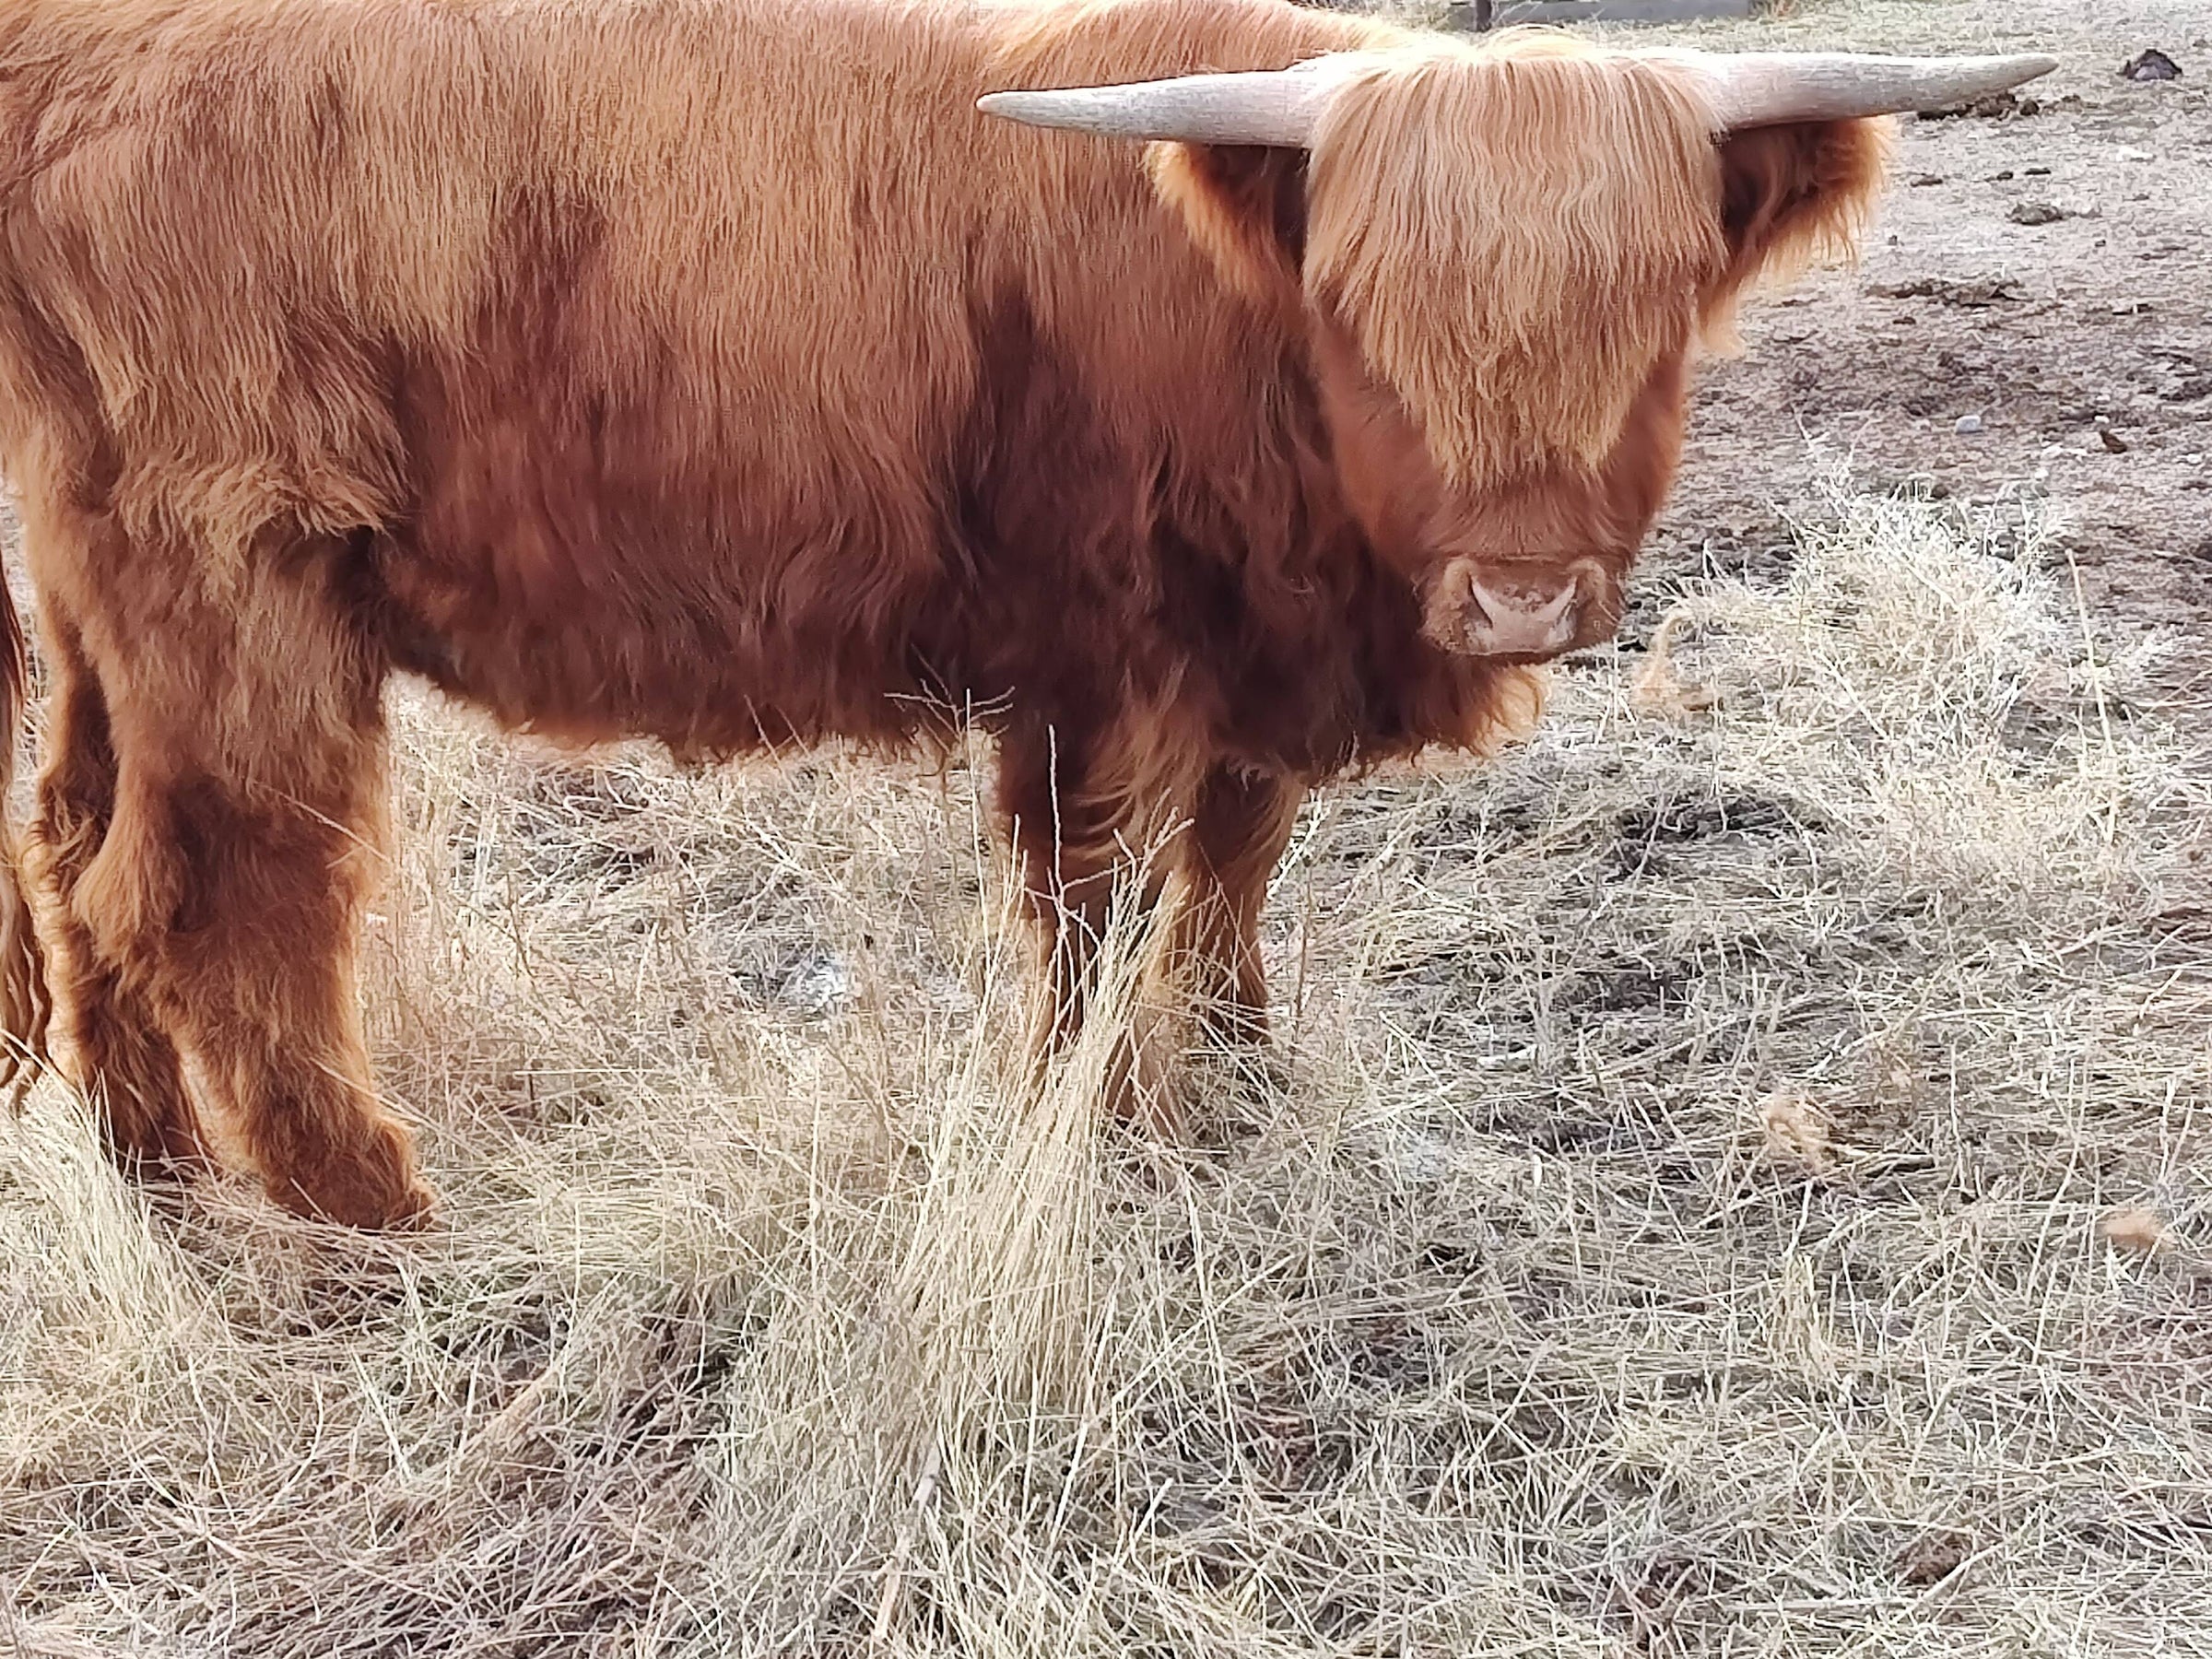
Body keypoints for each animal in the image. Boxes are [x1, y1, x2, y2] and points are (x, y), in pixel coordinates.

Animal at [0, 0, 2050, 1227]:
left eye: (1658, 305)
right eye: (1366, 315)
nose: (1525, 594)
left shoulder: (1245, 664)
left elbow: (1230, 878)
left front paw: (1238, 1082)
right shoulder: (1101, 657)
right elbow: (1102, 906)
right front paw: (1120, 1133)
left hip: (103, 589)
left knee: (73, 854)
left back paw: (150, 1178)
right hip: (237, 576)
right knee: (214, 889)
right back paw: (373, 1216)